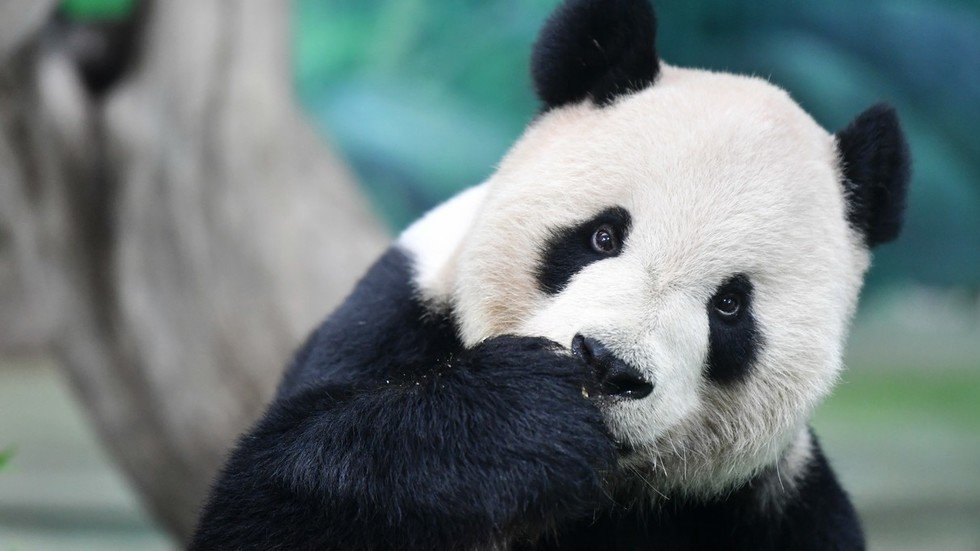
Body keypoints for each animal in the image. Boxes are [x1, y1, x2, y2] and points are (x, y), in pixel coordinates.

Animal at [192, 0, 910, 549]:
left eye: (731, 305)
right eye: (602, 235)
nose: (607, 365)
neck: (600, 489)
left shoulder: (766, 502)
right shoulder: (391, 322)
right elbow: (273, 497)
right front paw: (522, 416)